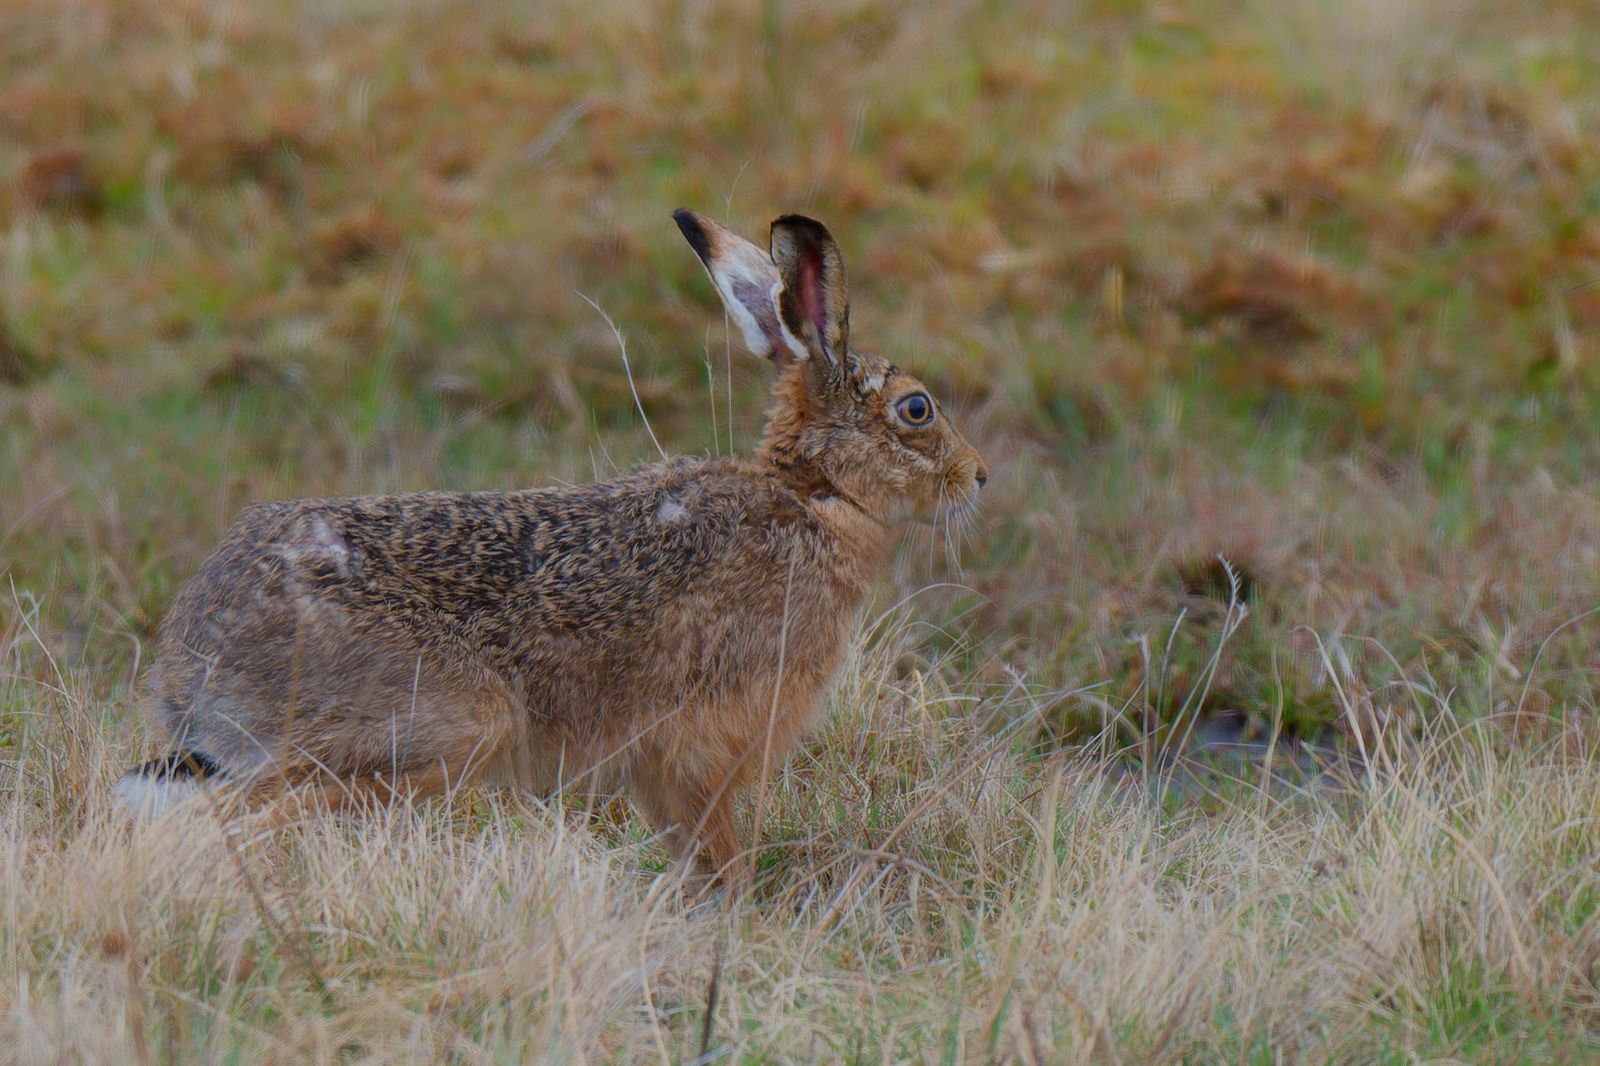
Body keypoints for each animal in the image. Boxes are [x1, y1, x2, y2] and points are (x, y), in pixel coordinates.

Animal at [116, 210, 988, 882]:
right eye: (916, 409)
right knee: (253, 814)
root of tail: (190, 666)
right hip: (439, 731)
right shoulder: (704, 748)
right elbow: (720, 851)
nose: (977, 477)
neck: (816, 497)